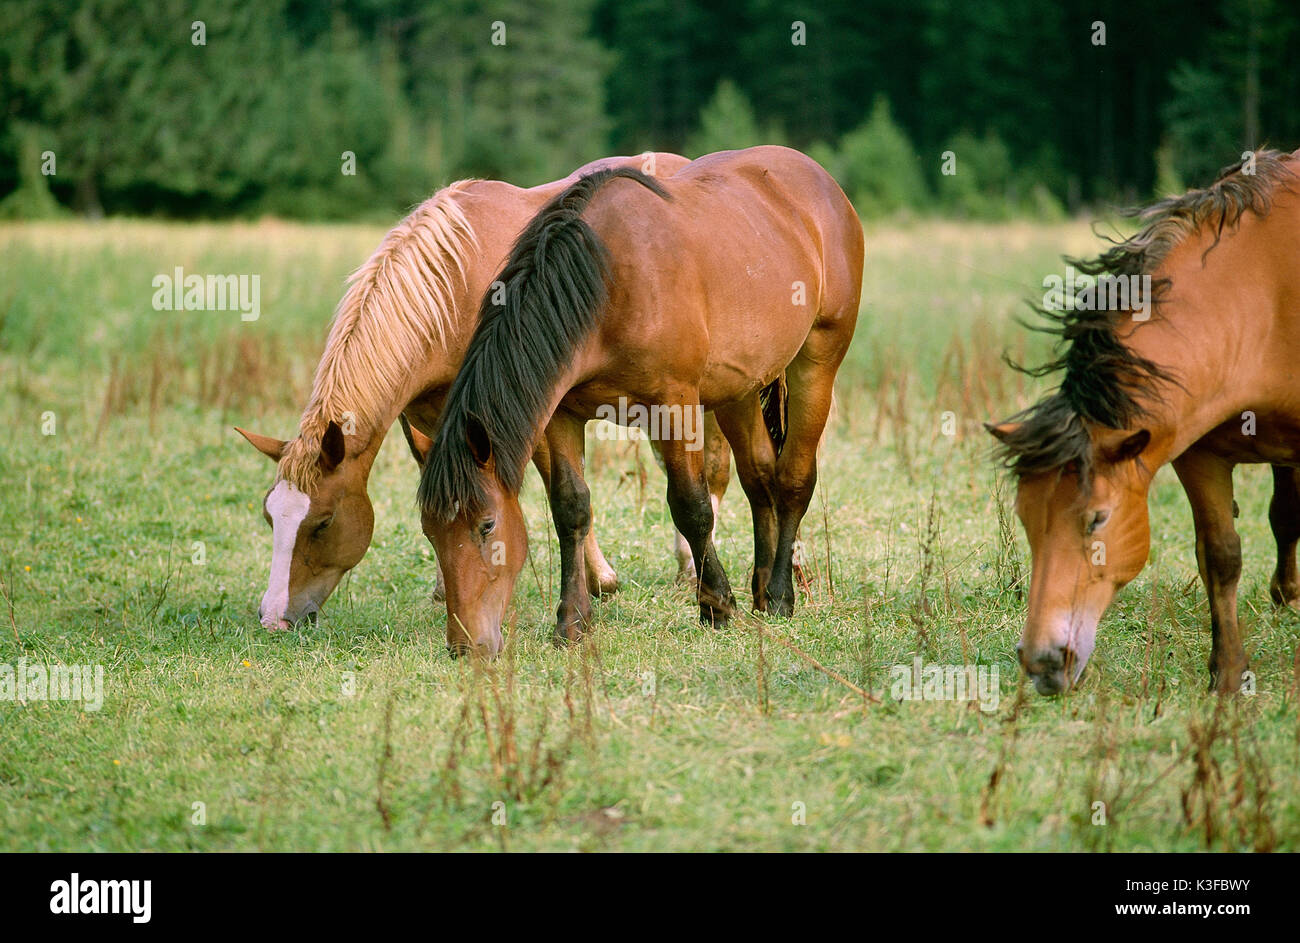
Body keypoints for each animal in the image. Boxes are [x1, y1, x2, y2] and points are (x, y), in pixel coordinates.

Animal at [234, 152, 733, 630]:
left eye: (323, 523)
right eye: (269, 516)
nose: (275, 618)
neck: (450, 290)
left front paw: (599, 583)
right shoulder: (431, 423)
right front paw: (447, 583)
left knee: (710, 467)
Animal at [417, 146, 863, 655]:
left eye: (486, 525)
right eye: (430, 532)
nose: (463, 646)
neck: (606, 280)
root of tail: (819, 180)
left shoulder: (675, 403)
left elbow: (691, 505)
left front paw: (715, 605)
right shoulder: (562, 414)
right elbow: (570, 508)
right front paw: (572, 622)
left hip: (818, 360)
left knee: (791, 480)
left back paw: (781, 595)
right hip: (740, 389)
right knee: (759, 479)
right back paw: (762, 592)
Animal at [988, 148, 1300, 696]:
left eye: (1097, 518)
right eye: (1024, 517)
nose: (1042, 662)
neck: (1265, 298)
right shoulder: (1200, 454)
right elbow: (1221, 556)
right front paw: (1227, 677)